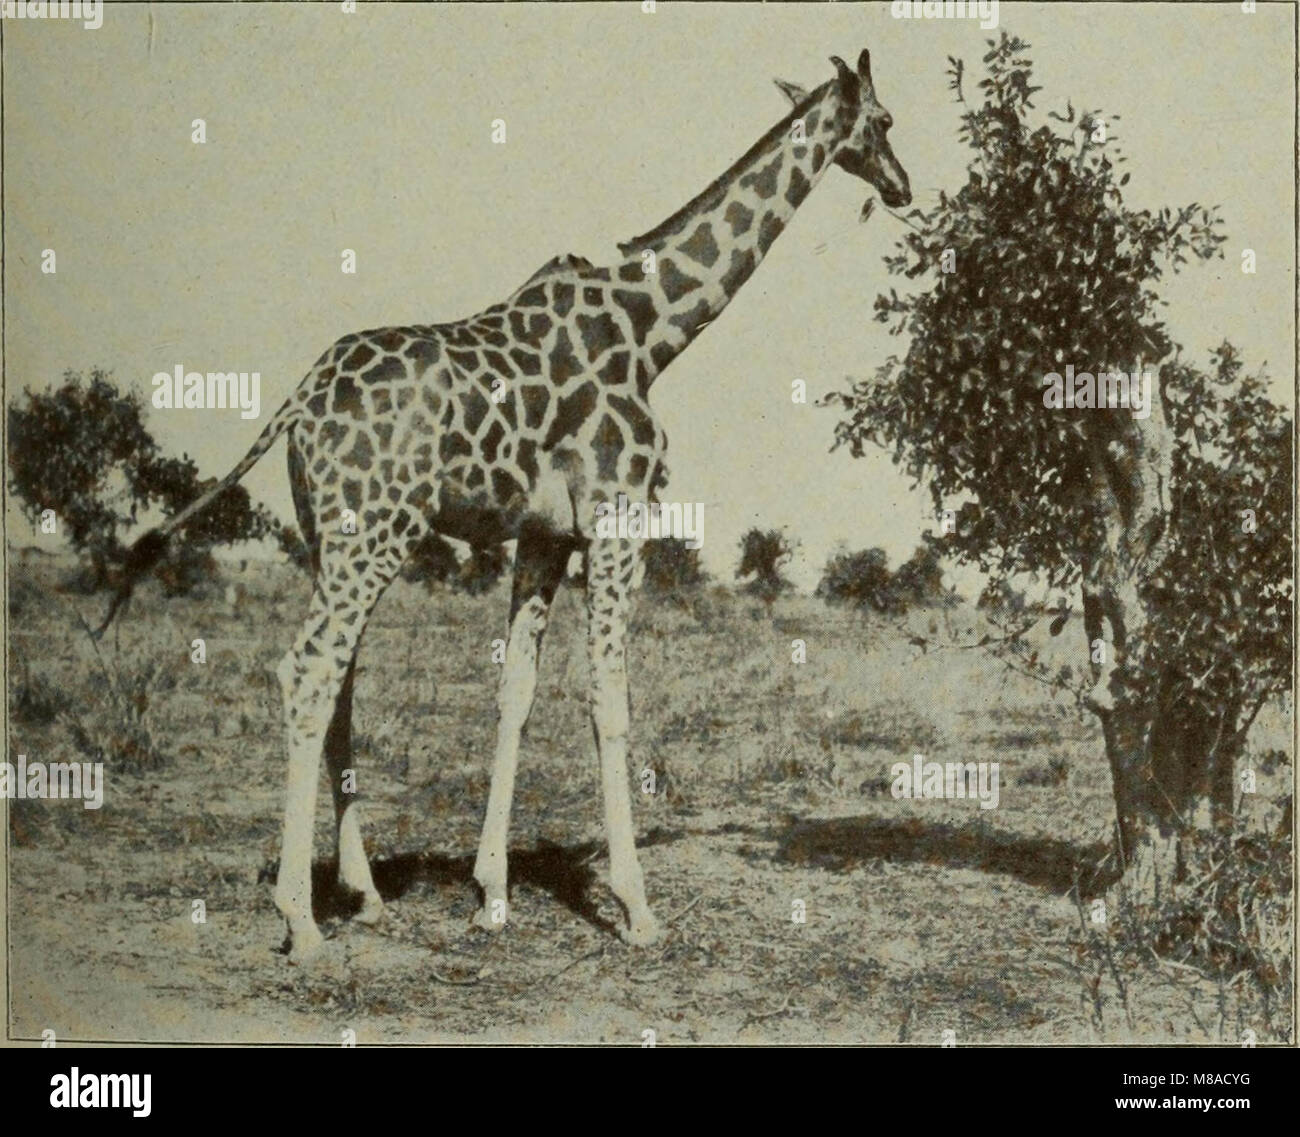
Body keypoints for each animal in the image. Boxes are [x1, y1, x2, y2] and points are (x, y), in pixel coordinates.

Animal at [101, 48, 910, 963]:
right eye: (884, 120)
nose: (905, 185)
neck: (653, 329)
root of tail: (301, 399)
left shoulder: (545, 535)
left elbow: (514, 693)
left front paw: (491, 893)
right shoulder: (618, 512)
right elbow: (609, 700)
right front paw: (636, 906)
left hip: (332, 533)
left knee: (340, 678)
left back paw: (365, 894)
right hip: (377, 527)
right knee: (308, 668)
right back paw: (300, 919)